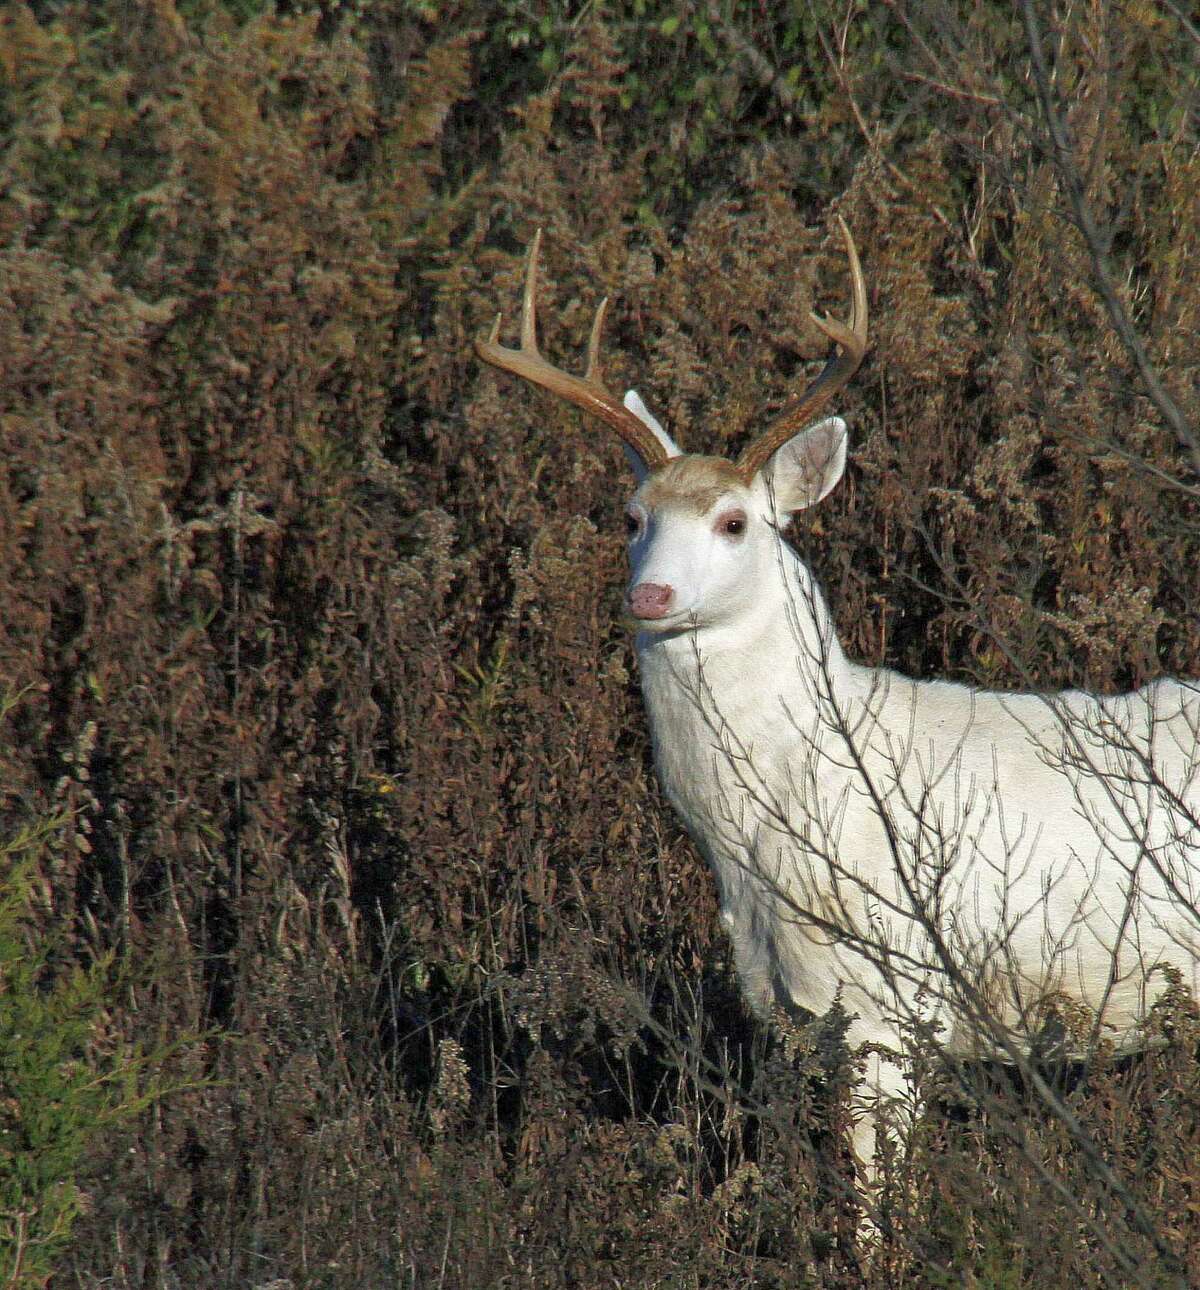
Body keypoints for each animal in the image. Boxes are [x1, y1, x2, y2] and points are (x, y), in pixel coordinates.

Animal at [474, 220, 1200, 1216]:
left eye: (734, 522)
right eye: (631, 517)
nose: (649, 595)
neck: (771, 820)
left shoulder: (897, 994)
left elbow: (878, 1203)